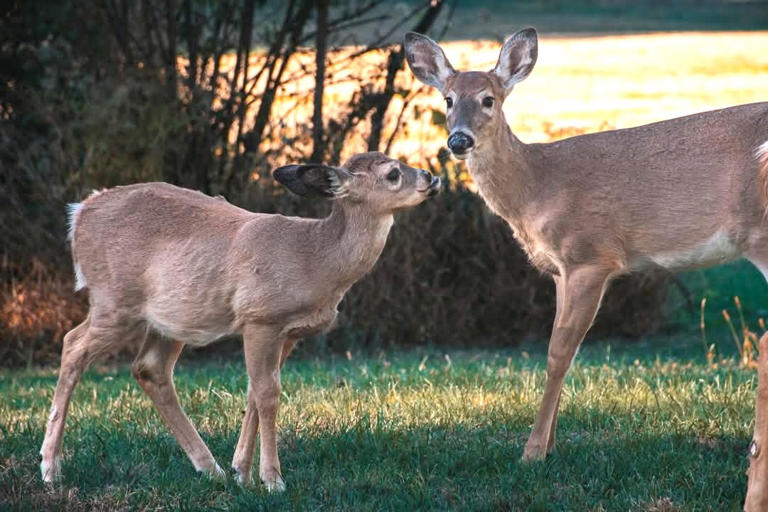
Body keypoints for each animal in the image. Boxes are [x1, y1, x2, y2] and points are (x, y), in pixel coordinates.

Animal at [39, 151, 441, 491]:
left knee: (149, 368)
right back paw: (50, 467)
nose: (432, 176)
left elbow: (254, 393)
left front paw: (241, 472)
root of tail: (80, 213)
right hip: (114, 299)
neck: (317, 259)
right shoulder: (261, 317)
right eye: (393, 173)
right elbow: (268, 395)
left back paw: (211, 469)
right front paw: (273, 479)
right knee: (73, 345)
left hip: (172, 318)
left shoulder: (288, 332)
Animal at [404, 27, 768, 467]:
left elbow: (559, 352)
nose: (459, 140)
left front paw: (532, 451)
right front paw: (550, 444)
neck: (536, 187)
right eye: (448, 99)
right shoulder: (559, 270)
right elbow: (564, 349)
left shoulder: (591, 255)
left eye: (488, 99)